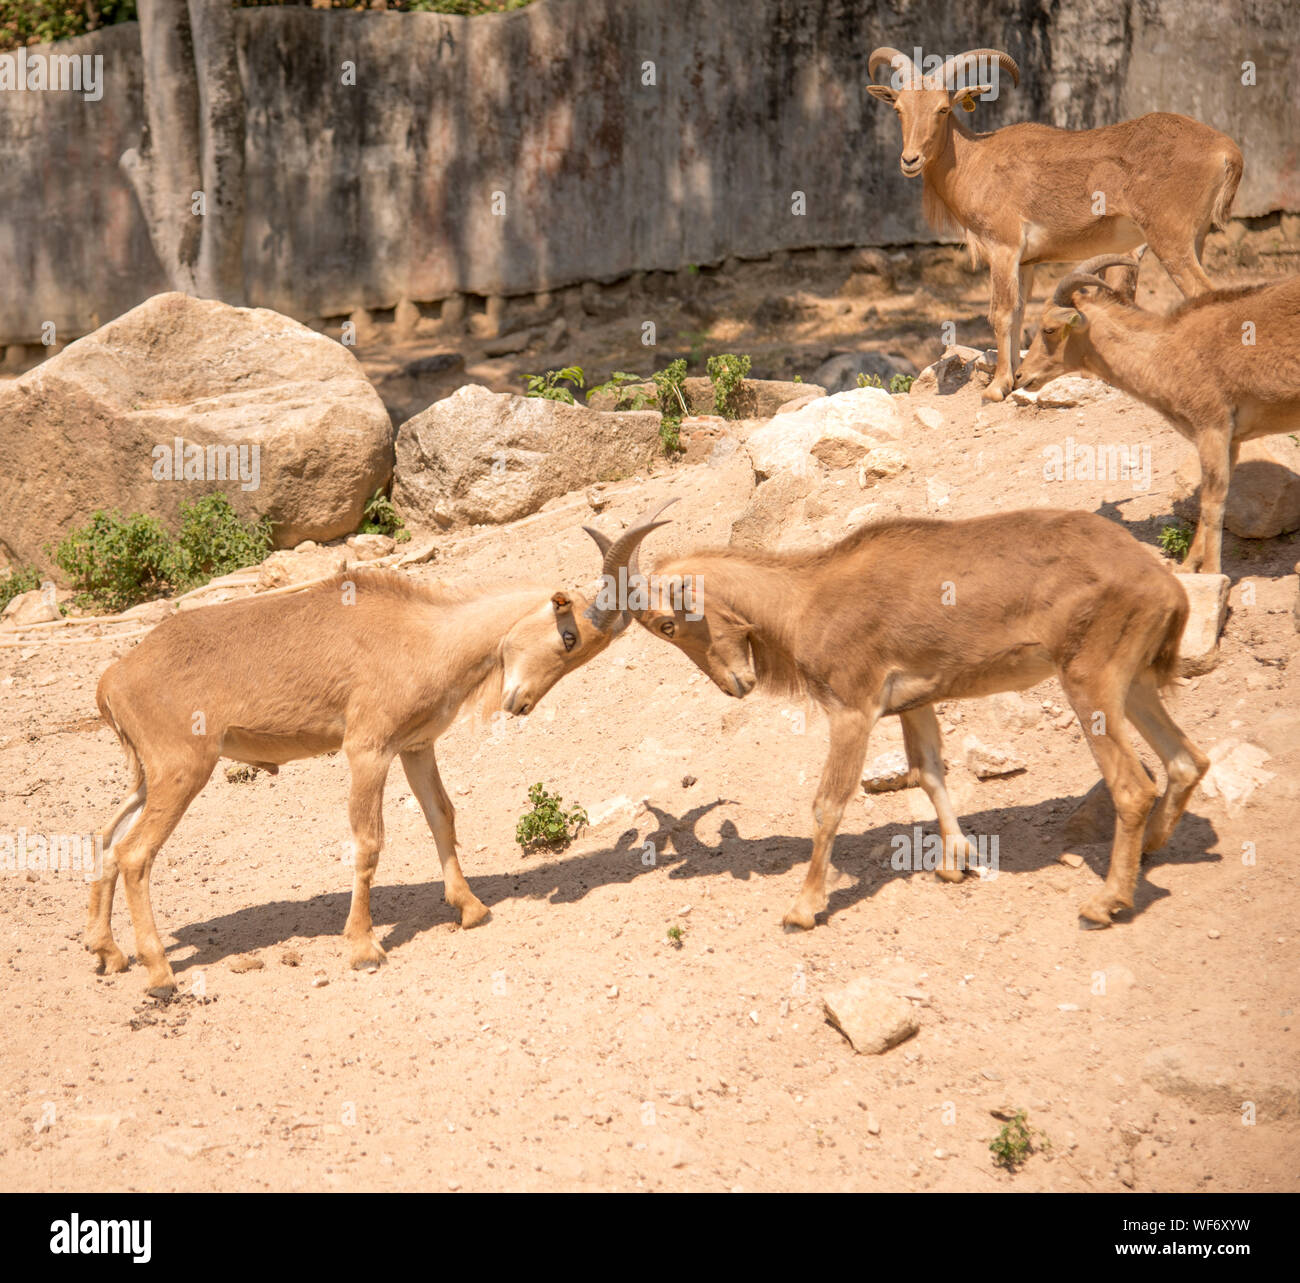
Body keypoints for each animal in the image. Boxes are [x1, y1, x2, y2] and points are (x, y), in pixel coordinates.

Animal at [89, 526, 658, 996]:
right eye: (569, 637)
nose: (520, 704)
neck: (426, 637)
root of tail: (112, 678)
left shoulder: (415, 747)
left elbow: (442, 817)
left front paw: (471, 909)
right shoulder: (368, 750)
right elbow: (368, 843)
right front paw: (364, 949)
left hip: (147, 776)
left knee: (106, 838)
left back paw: (107, 952)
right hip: (182, 769)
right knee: (135, 854)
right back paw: (159, 975)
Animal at [608, 505, 1207, 931]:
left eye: (665, 624)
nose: (734, 685)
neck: (806, 600)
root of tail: (1165, 585)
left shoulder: (852, 710)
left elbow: (828, 803)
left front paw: (802, 909)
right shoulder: (915, 701)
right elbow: (929, 771)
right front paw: (955, 862)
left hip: (1091, 681)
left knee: (1133, 786)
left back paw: (1104, 902)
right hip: (1134, 683)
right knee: (1187, 760)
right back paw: (1148, 851)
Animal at [866, 45, 1243, 401]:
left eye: (942, 109)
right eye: (899, 109)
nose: (910, 160)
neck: (975, 162)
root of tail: (1226, 150)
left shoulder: (1003, 248)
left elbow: (1001, 313)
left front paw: (996, 388)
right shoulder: (1026, 262)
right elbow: (1019, 313)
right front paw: (1013, 379)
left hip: (1171, 240)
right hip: (1195, 239)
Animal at [1016, 253, 1300, 574]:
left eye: (1049, 329)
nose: (1020, 376)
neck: (1164, 355)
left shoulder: (1212, 427)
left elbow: (1214, 501)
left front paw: (1211, 572)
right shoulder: (1232, 439)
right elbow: (1208, 501)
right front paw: (1187, 567)